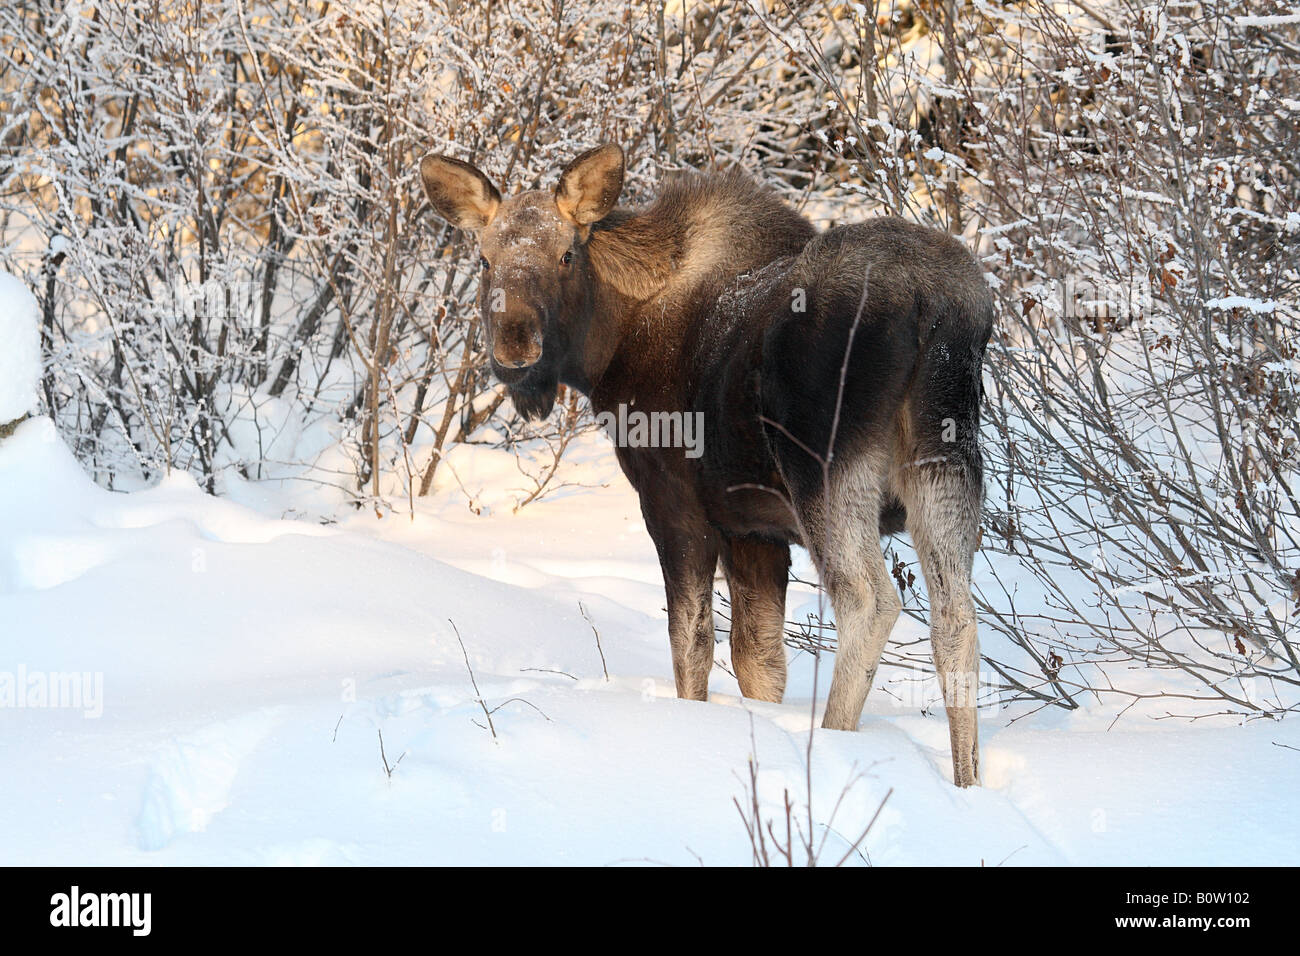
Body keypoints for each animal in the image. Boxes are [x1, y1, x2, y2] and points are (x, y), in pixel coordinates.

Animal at [419, 144, 993, 786]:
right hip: (946, 460)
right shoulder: (754, 529)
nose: (516, 346)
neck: (605, 351)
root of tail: (932, 301)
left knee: (869, 601)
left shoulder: (674, 504)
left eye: (566, 253)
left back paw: (835, 740)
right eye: (484, 259)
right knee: (957, 619)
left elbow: (690, 645)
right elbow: (760, 662)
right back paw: (967, 782)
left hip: (824, 468)